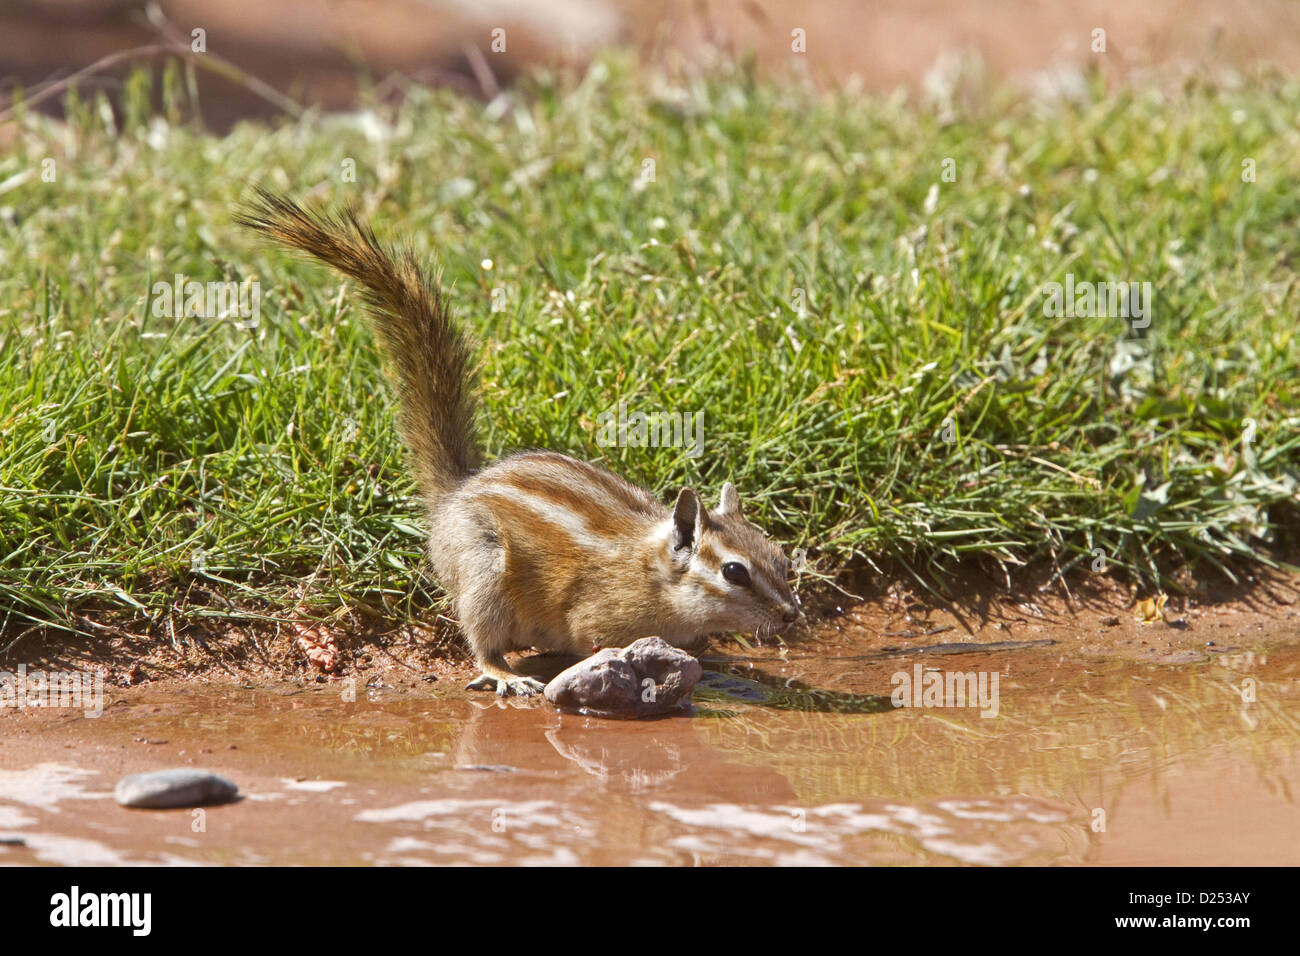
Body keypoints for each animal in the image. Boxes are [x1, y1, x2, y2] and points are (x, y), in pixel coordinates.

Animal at [237, 190, 800, 696]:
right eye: (734, 572)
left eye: (780, 556)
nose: (792, 615)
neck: (654, 574)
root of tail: (454, 494)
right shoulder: (595, 615)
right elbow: (594, 640)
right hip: (485, 571)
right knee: (482, 642)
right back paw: (507, 675)